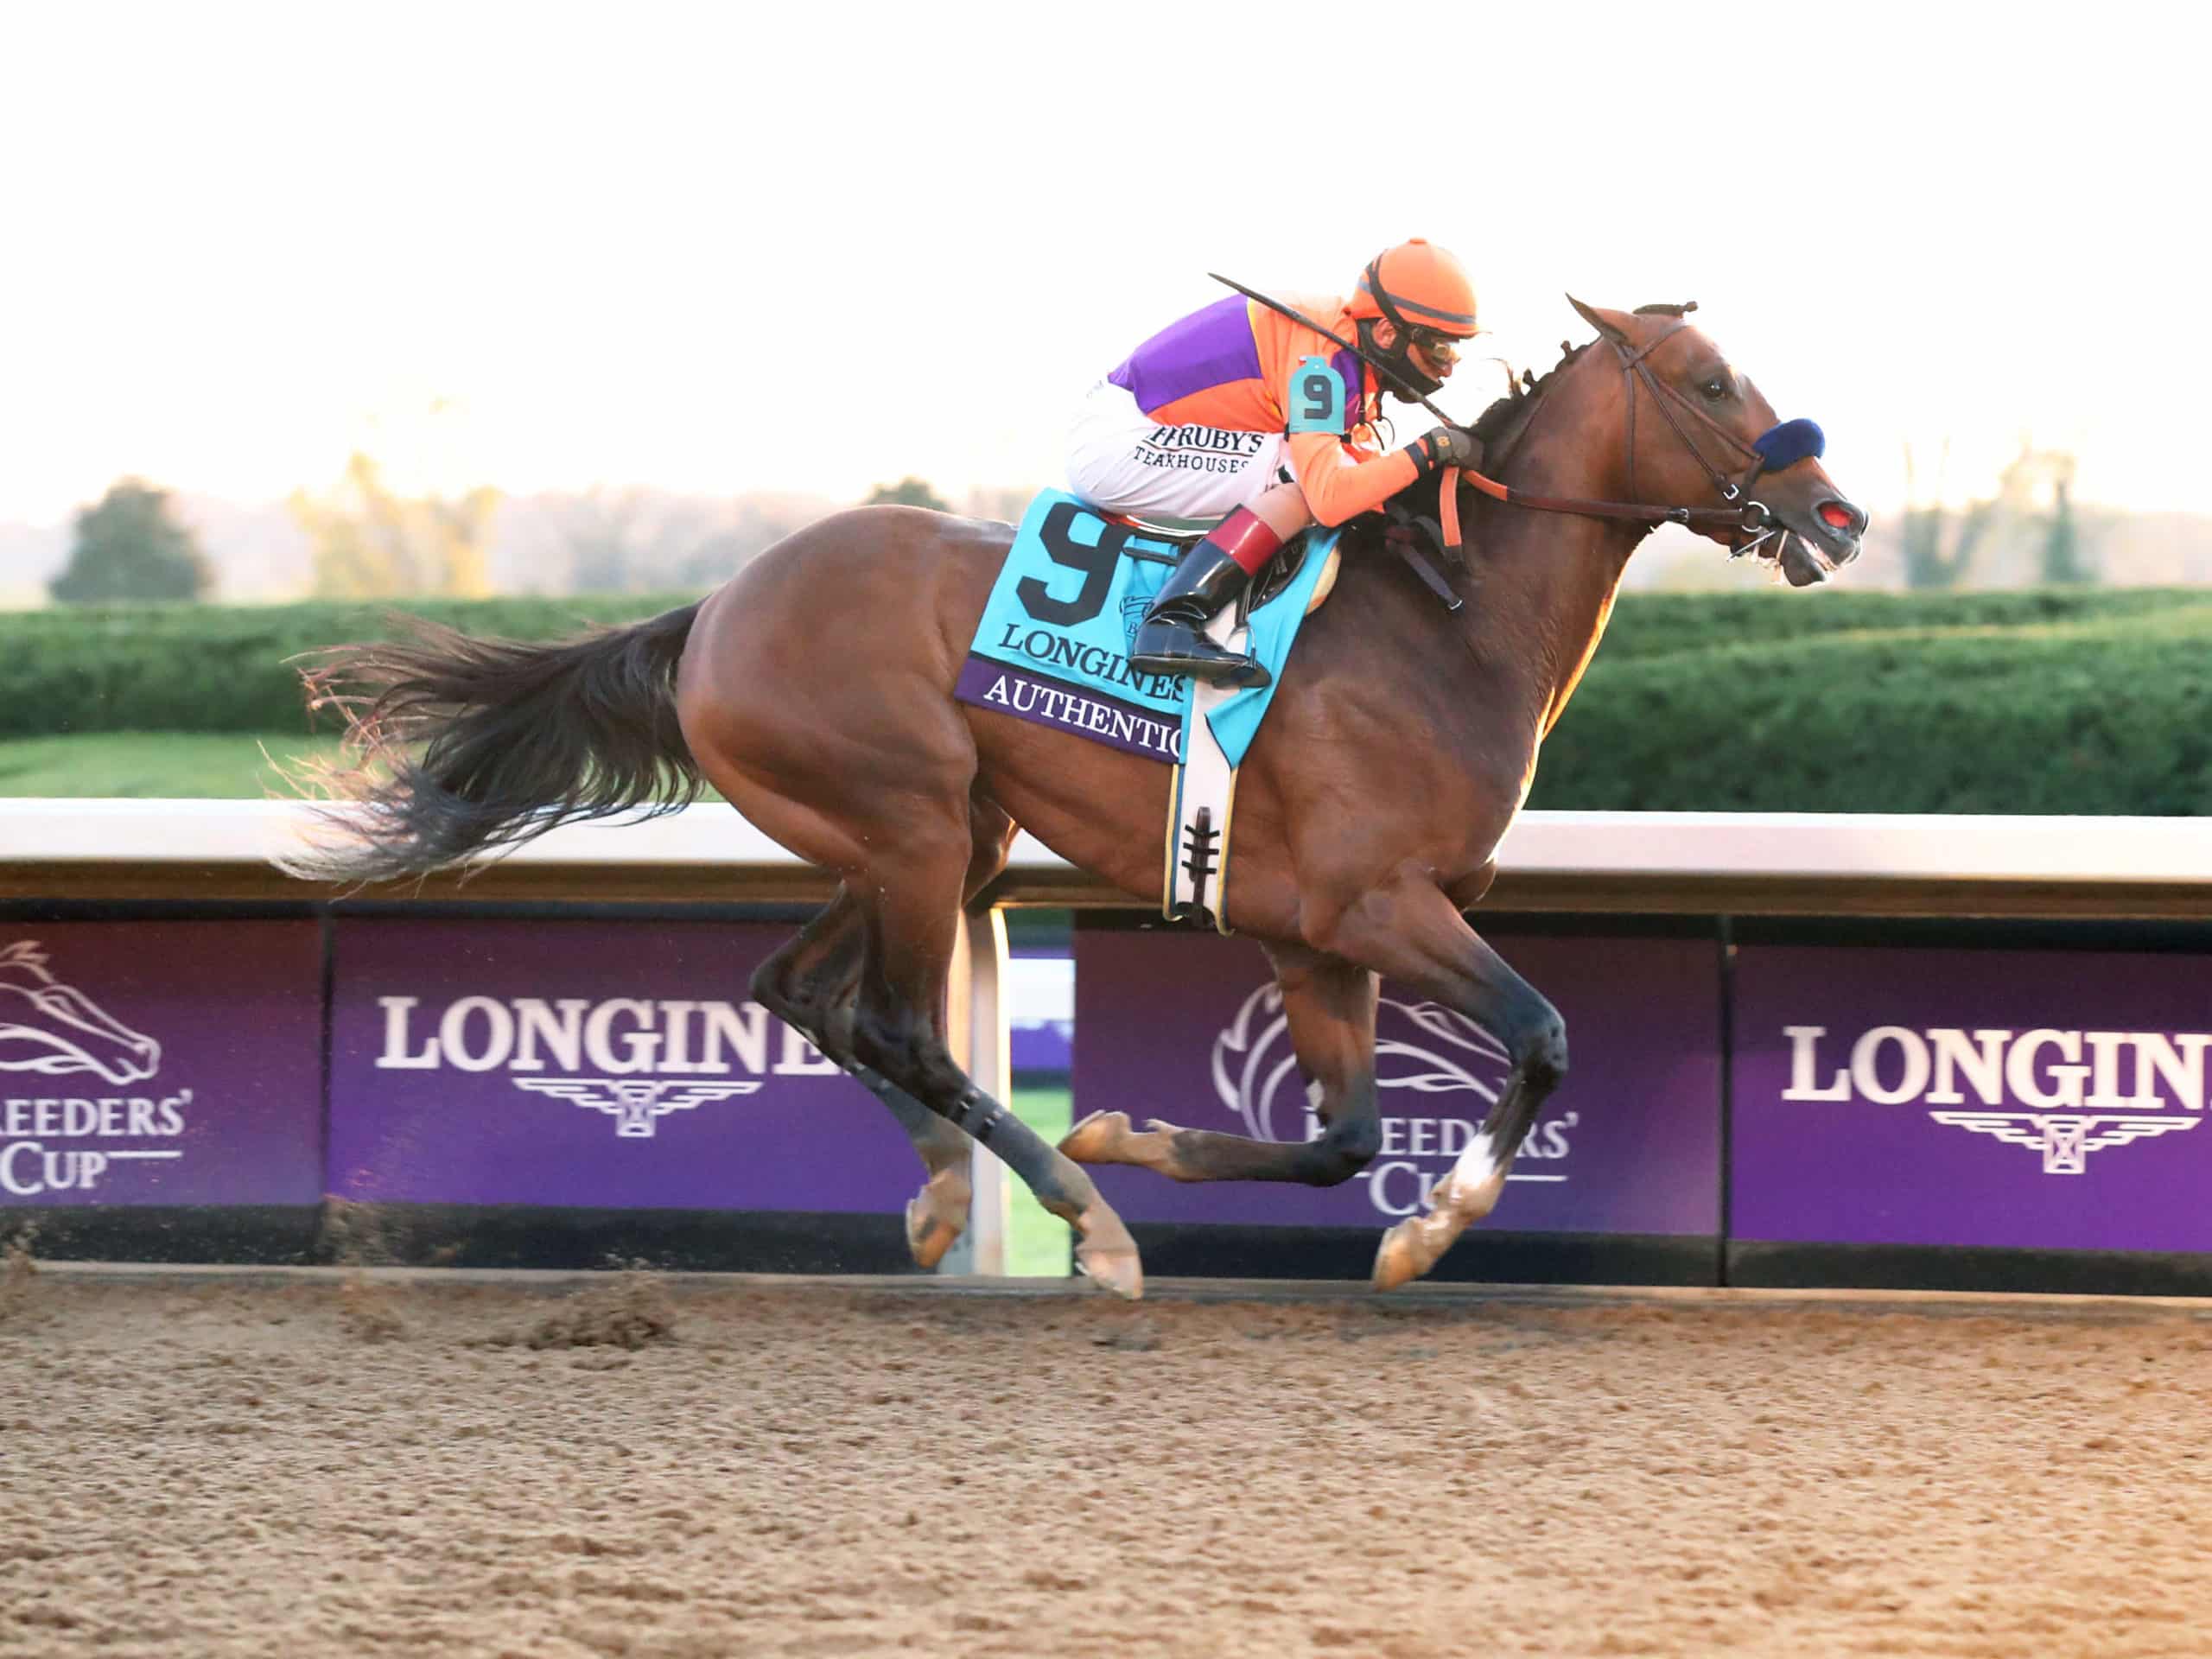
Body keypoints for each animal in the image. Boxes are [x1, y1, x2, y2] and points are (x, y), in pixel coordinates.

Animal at [288, 296, 1864, 1300]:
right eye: (1711, 384)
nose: (1837, 513)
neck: (1451, 622)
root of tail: (718, 605)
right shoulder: (1377, 903)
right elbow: (1538, 1037)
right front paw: (1428, 1230)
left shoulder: (1308, 933)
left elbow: (1346, 1138)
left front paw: (1139, 1136)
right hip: (914, 826)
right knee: (901, 1024)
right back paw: (1084, 1220)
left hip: (924, 840)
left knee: (796, 988)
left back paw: (951, 1191)